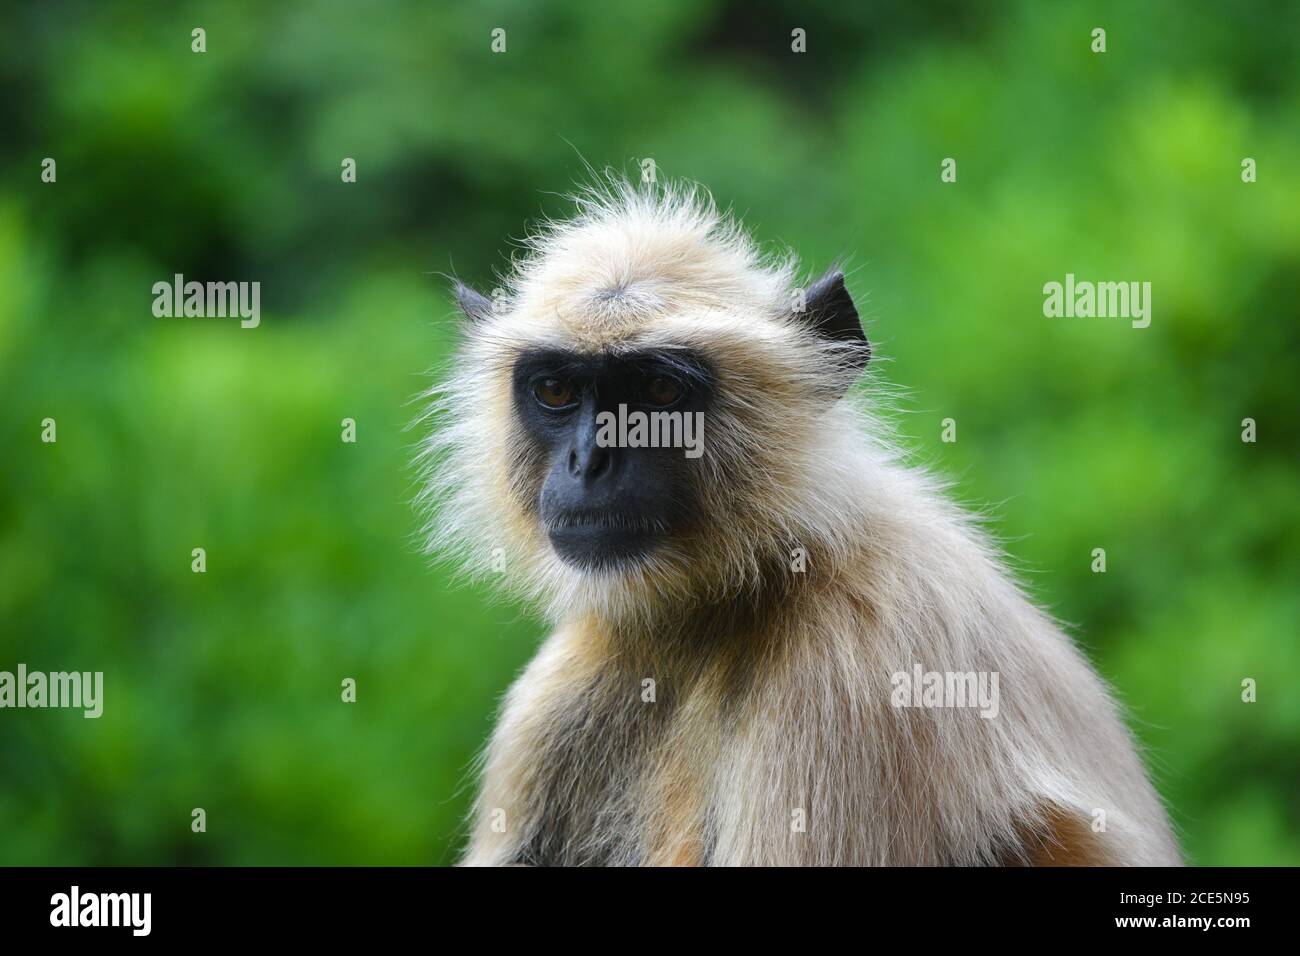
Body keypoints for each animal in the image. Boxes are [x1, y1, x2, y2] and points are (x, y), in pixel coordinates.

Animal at [417, 178, 1182, 866]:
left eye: (659, 392)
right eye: (556, 390)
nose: (588, 462)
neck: (729, 606)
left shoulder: (856, 682)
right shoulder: (555, 698)